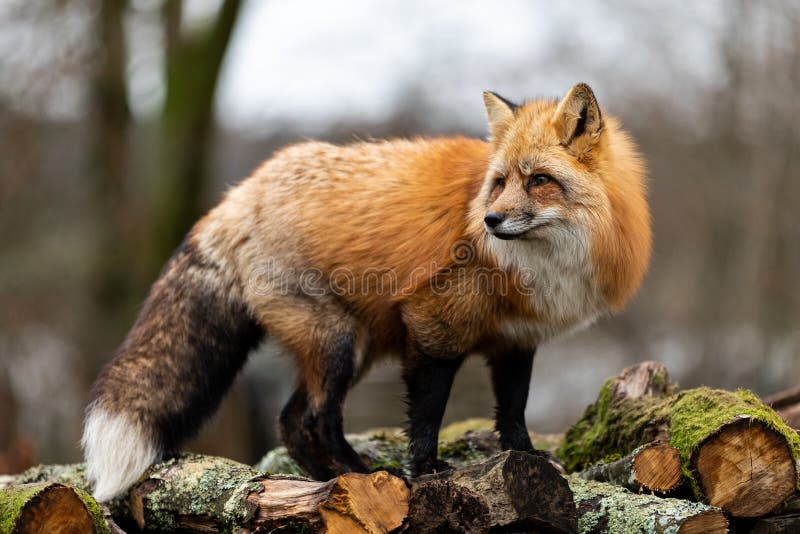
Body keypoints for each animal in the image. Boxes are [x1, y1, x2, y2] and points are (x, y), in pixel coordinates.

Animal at [82, 83, 651, 501]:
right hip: (339, 344)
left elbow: (512, 411)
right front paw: (426, 472)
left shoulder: (517, 339)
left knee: (291, 422)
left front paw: (529, 458)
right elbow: (428, 412)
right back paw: (358, 475)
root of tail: (242, 191)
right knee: (316, 419)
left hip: (353, 347)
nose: (490, 221)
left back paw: (325, 480)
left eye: (537, 181)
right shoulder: (432, 322)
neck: (540, 266)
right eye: (499, 183)